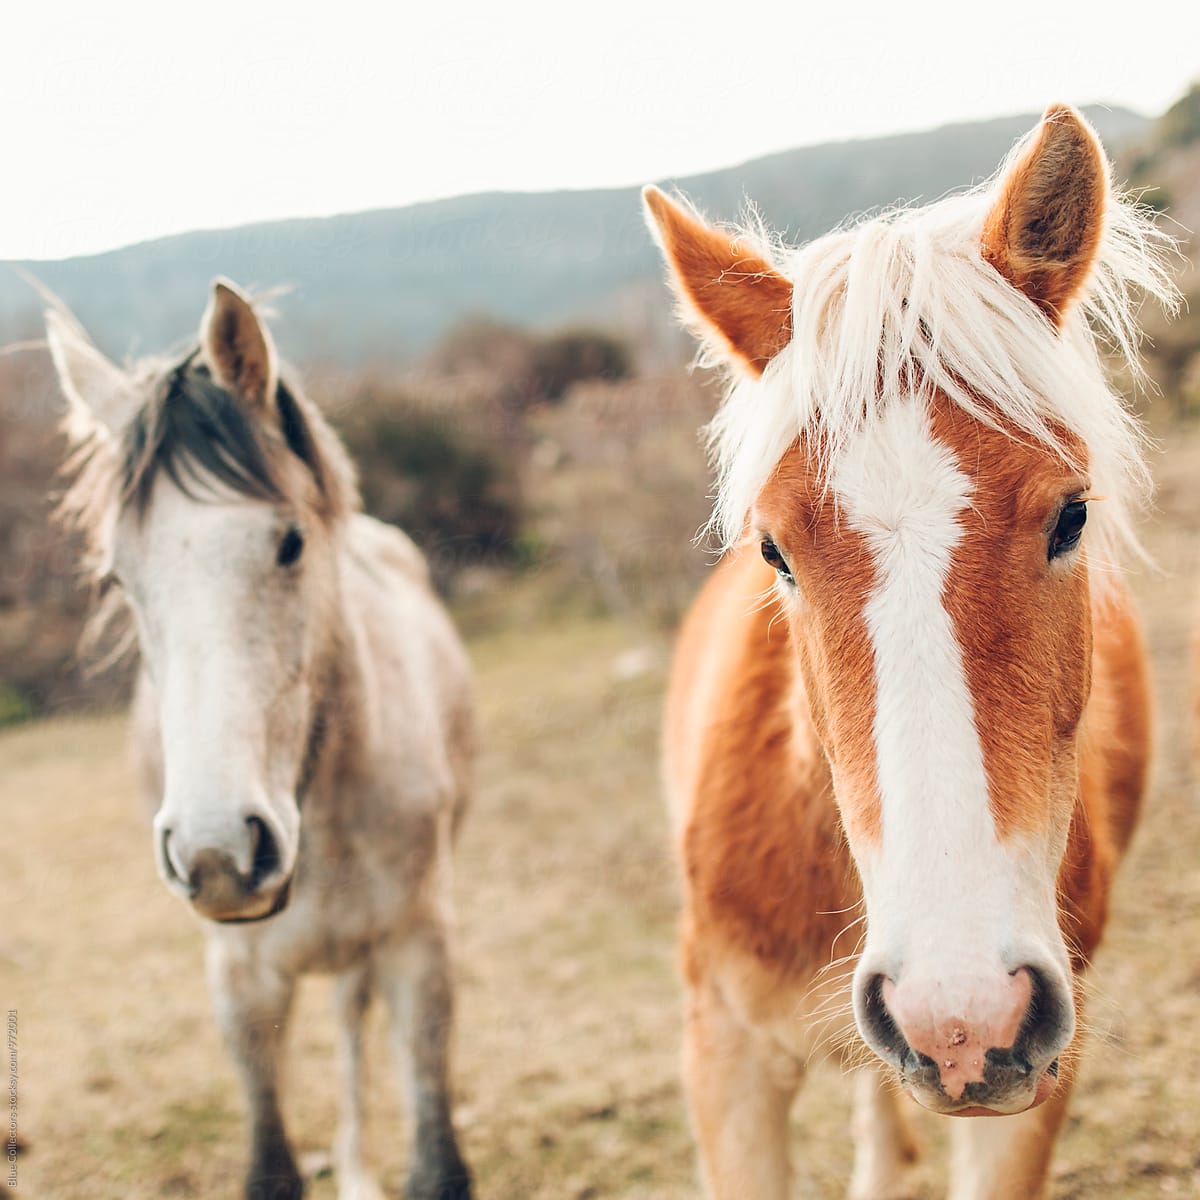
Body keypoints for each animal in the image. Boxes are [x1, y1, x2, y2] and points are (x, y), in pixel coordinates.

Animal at [46, 280, 475, 1200]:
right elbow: (270, 1165)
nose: (217, 855)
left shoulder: (419, 949)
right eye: (118, 580)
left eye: (290, 542)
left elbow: (435, 1162)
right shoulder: (237, 979)